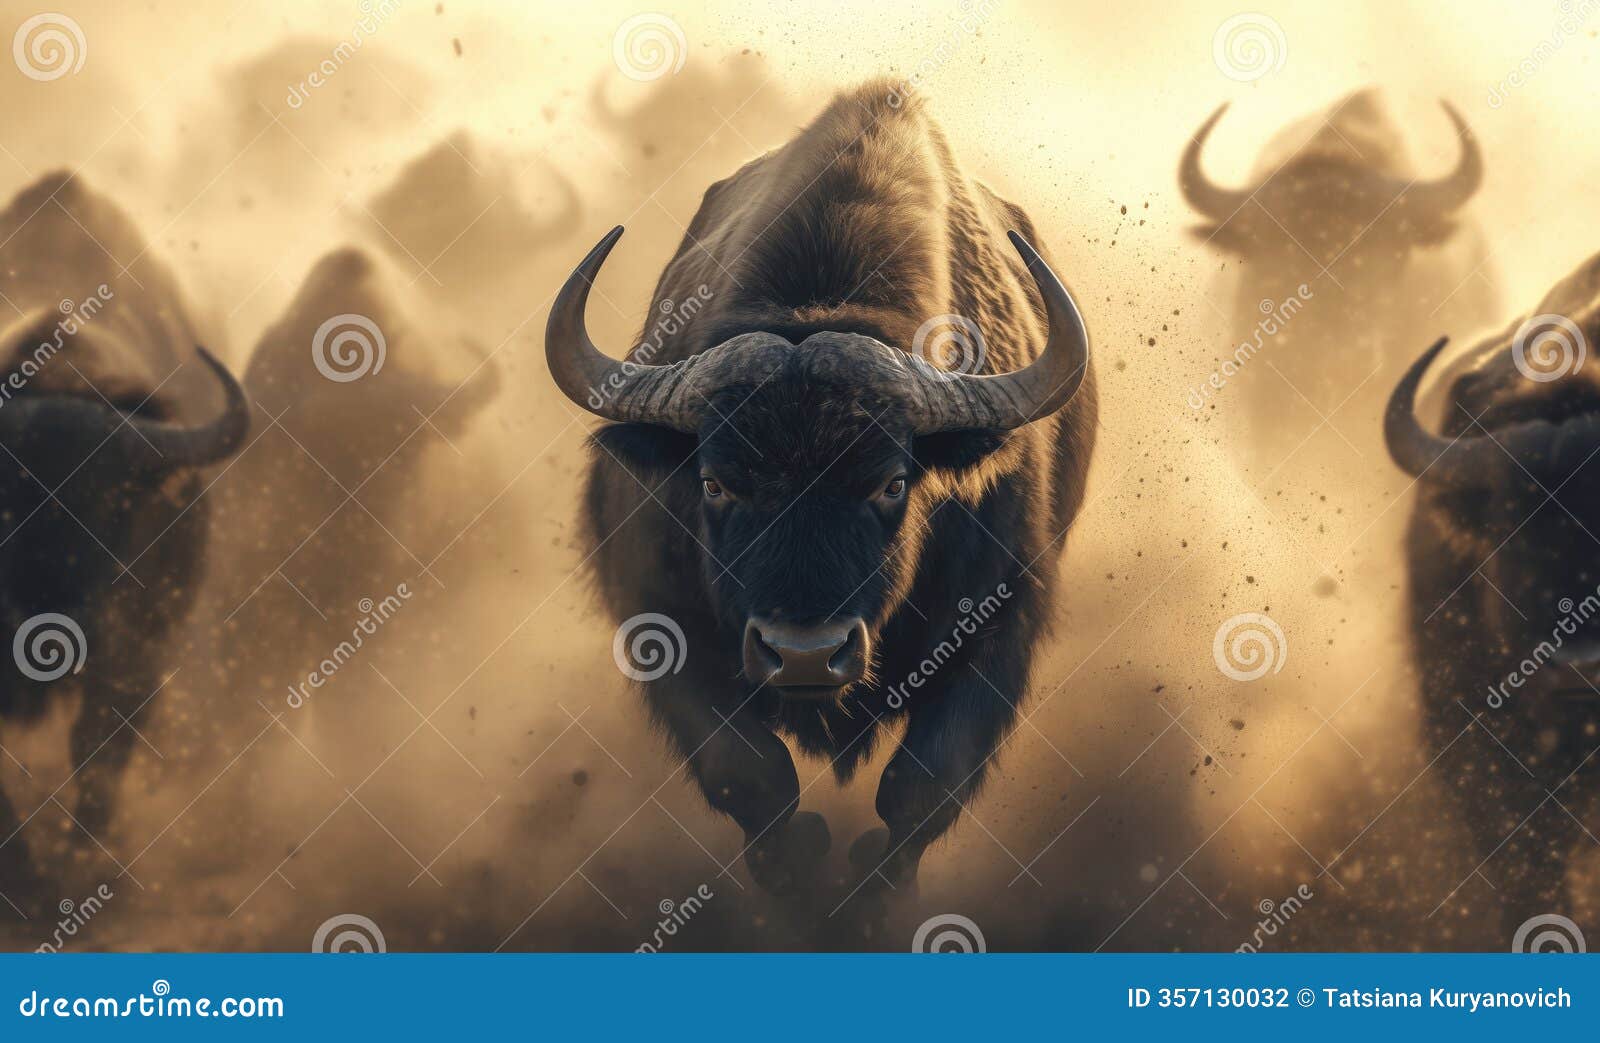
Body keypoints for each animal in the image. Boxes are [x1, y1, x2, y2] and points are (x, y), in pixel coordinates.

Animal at [0, 174, 248, 906]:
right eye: (3, 507)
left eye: (109, 506)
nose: (57, 628)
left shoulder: (133, 647)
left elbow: (99, 747)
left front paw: (88, 855)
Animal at [546, 82, 1097, 897]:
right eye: (714, 481)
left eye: (893, 482)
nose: (804, 655)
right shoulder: (658, 616)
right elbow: (752, 775)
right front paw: (793, 875)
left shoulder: (1000, 625)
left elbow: (918, 789)